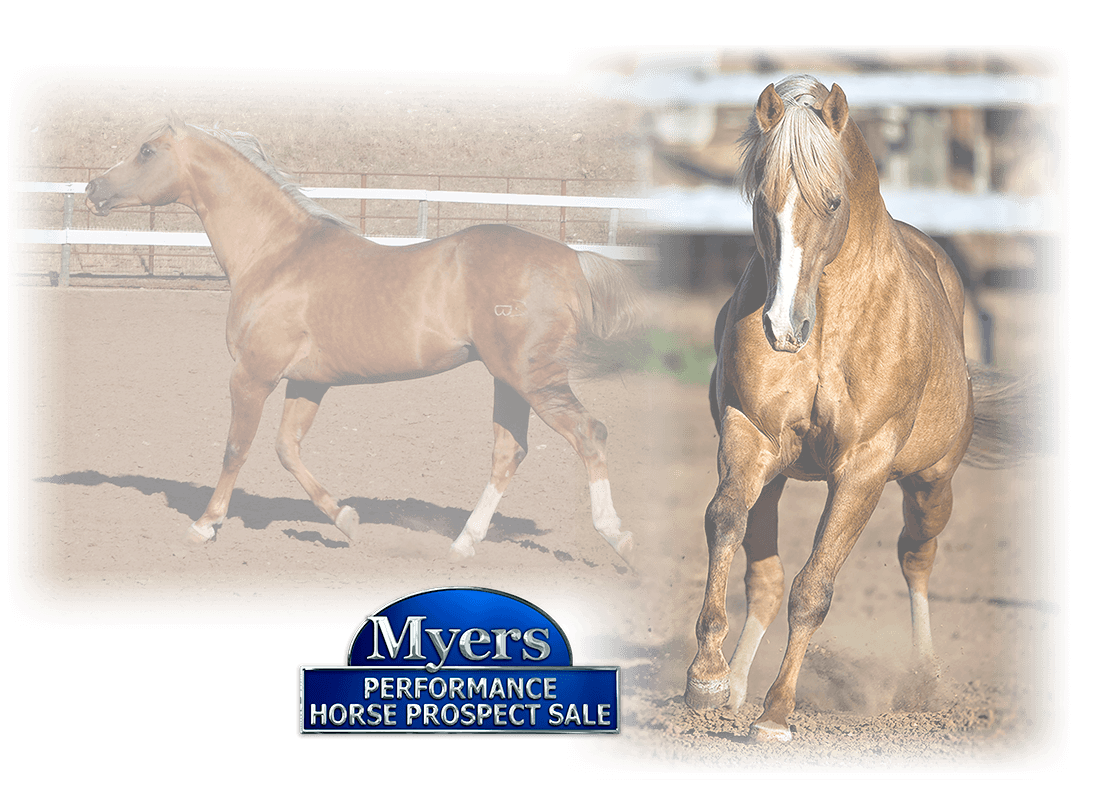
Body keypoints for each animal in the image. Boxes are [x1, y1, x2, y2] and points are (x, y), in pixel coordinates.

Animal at [85, 110, 644, 565]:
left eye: (147, 150)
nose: (93, 189)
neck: (274, 255)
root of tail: (570, 258)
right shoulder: (308, 382)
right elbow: (287, 449)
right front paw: (347, 521)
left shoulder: (253, 374)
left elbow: (236, 449)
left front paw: (205, 525)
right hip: (508, 380)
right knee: (509, 453)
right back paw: (461, 545)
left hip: (533, 376)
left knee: (589, 434)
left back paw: (618, 540)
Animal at [684, 75, 1038, 743]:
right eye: (762, 202)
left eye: (831, 202)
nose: (782, 327)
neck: (833, 323)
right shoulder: (749, 436)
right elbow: (726, 524)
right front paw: (708, 677)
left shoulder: (863, 471)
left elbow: (814, 589)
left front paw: (777, 714)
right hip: (775, 477)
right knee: (764, 578)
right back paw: (736, 683)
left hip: (930, 486)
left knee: (916, 558)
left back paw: (922, 680)